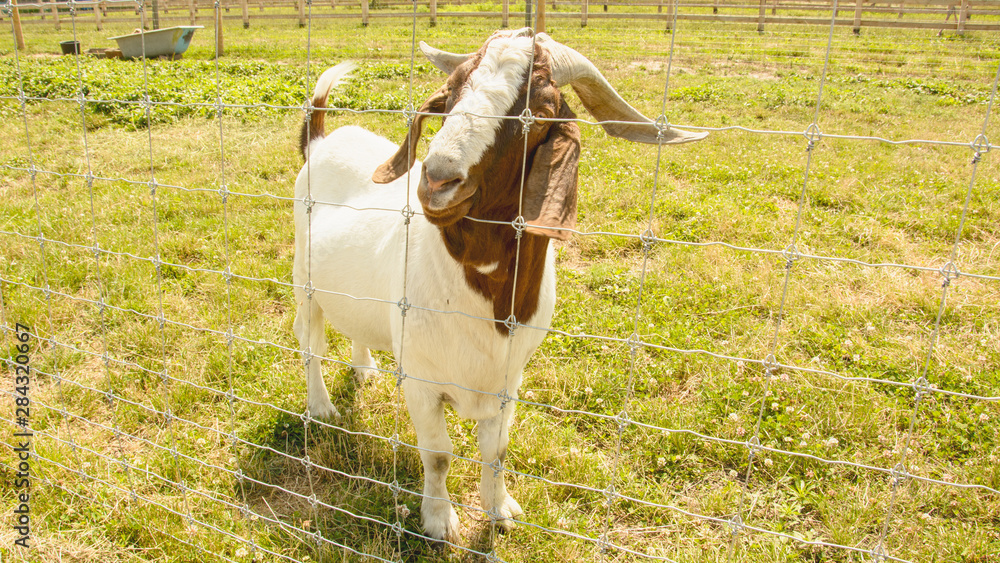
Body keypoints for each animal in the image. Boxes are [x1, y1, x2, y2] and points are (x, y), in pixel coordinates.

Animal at [293, 28, 706, 543]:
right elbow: (439, 454)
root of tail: (321, 142)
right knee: (309, 343)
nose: (437, 179)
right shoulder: (422, 381)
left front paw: (500, 509)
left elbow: (497, 449)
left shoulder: (510, 381)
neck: (481, 291)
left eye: (541, 113)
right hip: (303, 283)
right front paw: (439, 521)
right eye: (451, 93)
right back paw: (321, 408)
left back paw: (364, 368)